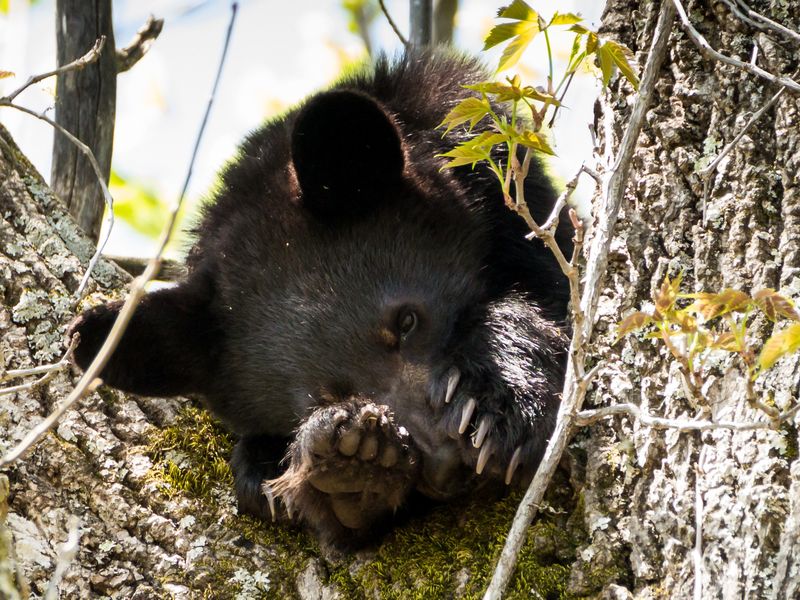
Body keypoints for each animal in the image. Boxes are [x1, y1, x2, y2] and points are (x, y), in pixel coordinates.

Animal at [71, 49, 572, 549]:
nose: (445, 463)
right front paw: (343, 465)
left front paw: (490, 404)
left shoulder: (497, 163)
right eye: (326, 394)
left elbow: (556, 296)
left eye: (406, 320)